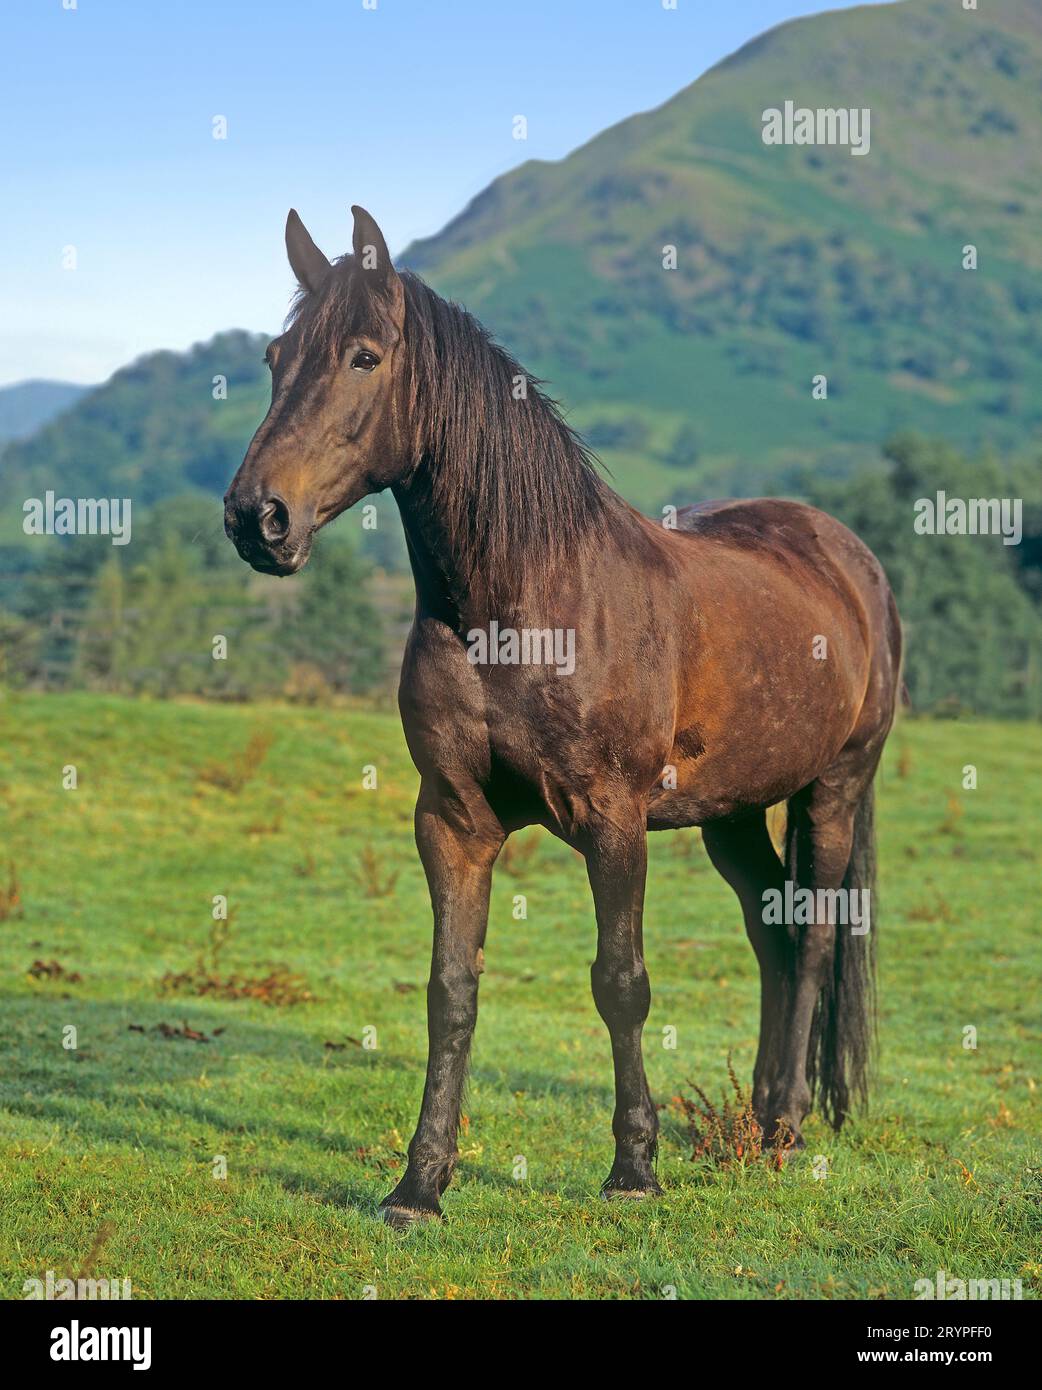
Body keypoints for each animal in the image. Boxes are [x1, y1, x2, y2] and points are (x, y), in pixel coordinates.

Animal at [224, 205, 903, 1227]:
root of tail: (848, 557)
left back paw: (784, 1129)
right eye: (274, 357)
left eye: (364, 356)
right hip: (733, 813)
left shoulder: (612, 820)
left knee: (815, 935)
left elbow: (621, 984)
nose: (255, 518)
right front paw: (420, 1186)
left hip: (835, 787)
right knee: (774, 937)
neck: (522, 605)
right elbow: (450, 990)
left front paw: (633, 1170)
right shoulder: (452, 821)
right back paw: (750, 1127)